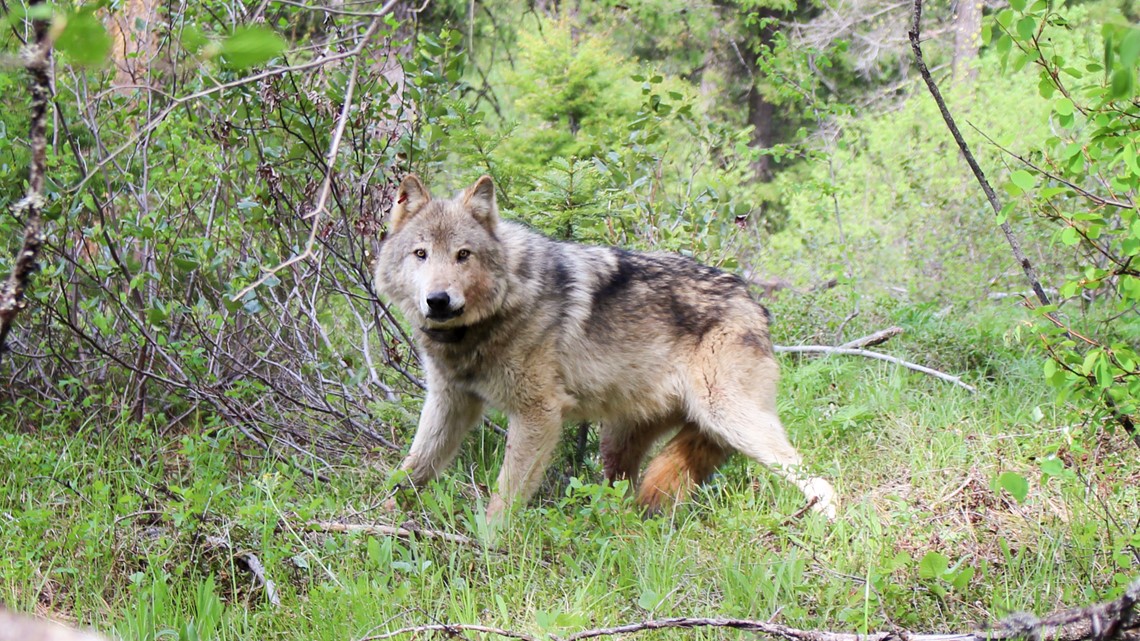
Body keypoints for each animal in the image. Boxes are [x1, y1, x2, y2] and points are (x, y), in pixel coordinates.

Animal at [373, 174, 837, 521]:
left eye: (463, 255)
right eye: (420, 254)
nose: (438, 300)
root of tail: (754, 302)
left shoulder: (538, 415)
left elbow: (504, 499)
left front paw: (490, 546)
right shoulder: (449, 403)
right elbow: (409, 470)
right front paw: (376, 520)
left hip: (731, 420)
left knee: (819, 479)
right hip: (620, 443)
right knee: (624, 497)